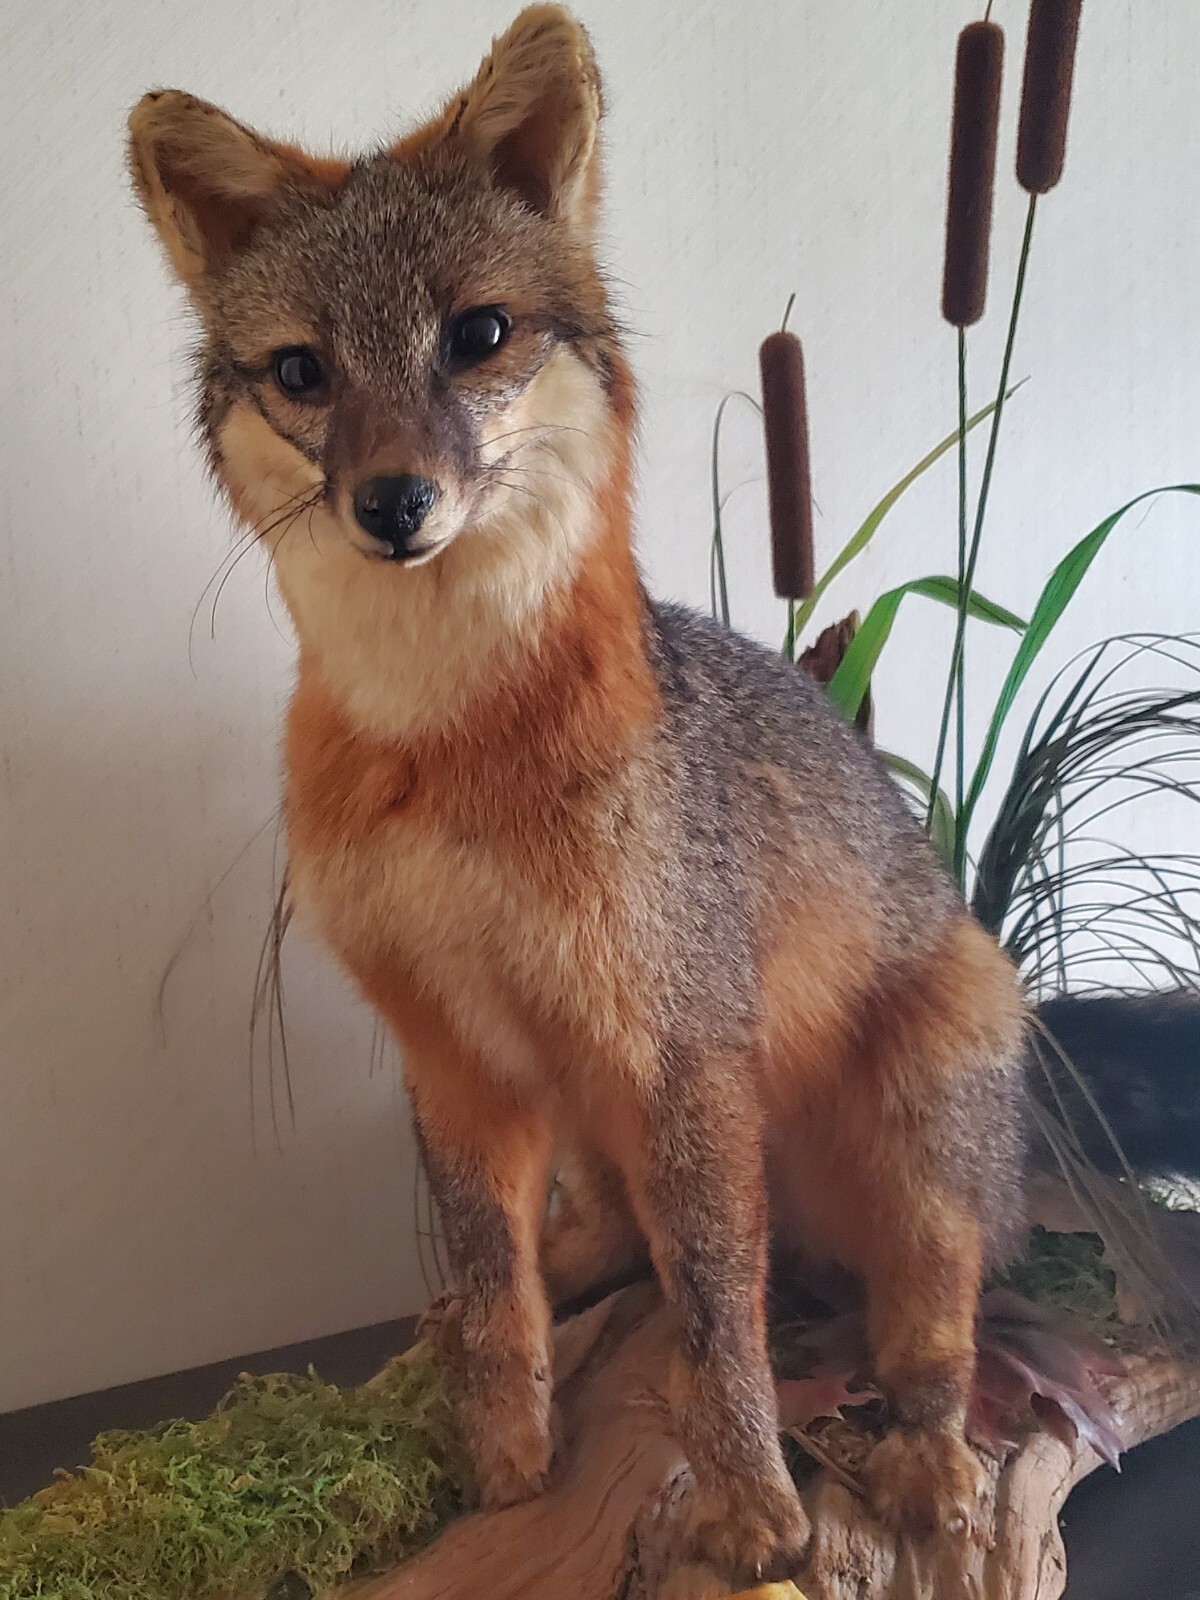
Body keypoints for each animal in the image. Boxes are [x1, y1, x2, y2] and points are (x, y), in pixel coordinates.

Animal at [128, 6, 1029, 1582]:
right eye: (303, 371)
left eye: (478, 335)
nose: (395, 504)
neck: (445, 750)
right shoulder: (451, 1051)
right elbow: (495, 1279)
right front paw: (500, 1454)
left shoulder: (677, 1048)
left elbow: (721, 1313)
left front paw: (753, 1506)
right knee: (599, 1243)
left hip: (914, 1133)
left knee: (922, 1328)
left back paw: (925, 1455)